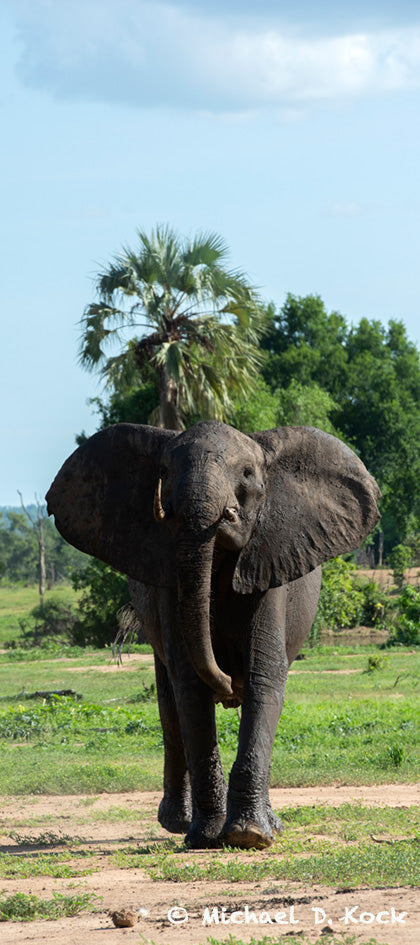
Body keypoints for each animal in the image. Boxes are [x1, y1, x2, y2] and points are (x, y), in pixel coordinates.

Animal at [46, 420, 380, 850]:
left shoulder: (268, 562)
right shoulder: (167, 577)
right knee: (169, 704)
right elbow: (190, 685)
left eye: (248, 474)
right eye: (164, 474)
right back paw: (177, 822)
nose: (227, 684)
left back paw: (268, 825)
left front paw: (248, 835)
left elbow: (263, 677)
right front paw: (206, 836)